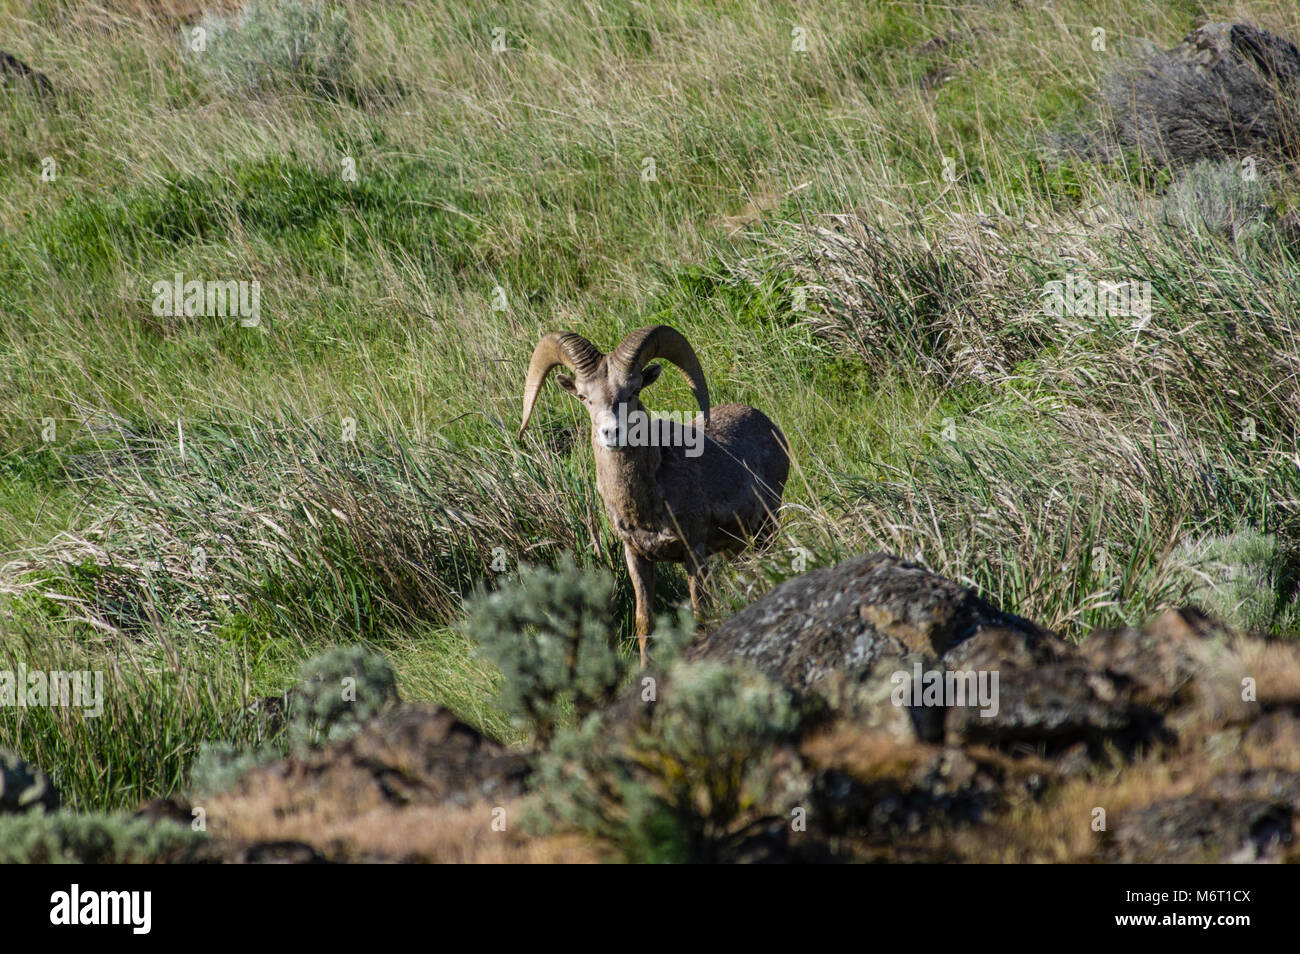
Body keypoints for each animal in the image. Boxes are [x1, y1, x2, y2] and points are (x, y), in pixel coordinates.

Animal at [519, 324, 789, 666]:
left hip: (768, 527)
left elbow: (700, 617)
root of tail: (769, 426)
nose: (611, 433)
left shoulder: (694, 552)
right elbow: (644, 620)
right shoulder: (637, 557)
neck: (643, 505)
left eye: (633, 391)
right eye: (584, 397)